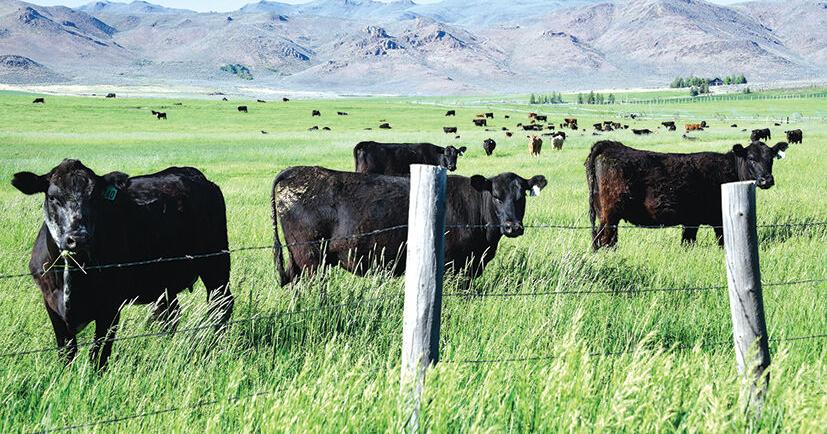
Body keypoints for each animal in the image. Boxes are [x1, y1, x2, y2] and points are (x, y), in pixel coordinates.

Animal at [11, 160, 232, 369]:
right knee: (170, 315)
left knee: (221, 305)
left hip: (217, 264)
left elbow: (99, 353)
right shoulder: (52, 305)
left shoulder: (110, 306)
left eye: (95, 198)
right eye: (53, 197)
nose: (79, 238)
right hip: (163, 282)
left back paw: (219, 343)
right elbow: (66, 351)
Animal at [270, 167, 547, 286]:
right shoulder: (452, 266)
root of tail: (294, 171)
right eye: (497, 196)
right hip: (310, 257)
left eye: (521, 196)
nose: (512, 227)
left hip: (298, 258)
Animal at [585, 140, 789, 250]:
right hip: (610, 216)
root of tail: (608, 145)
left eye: (771, 159)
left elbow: (687, 243)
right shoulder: (718, 219)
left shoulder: (691, 220)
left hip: (603, 215)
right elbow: (721, 242)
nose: (766, 180)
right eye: (752, 159)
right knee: (606, 242)